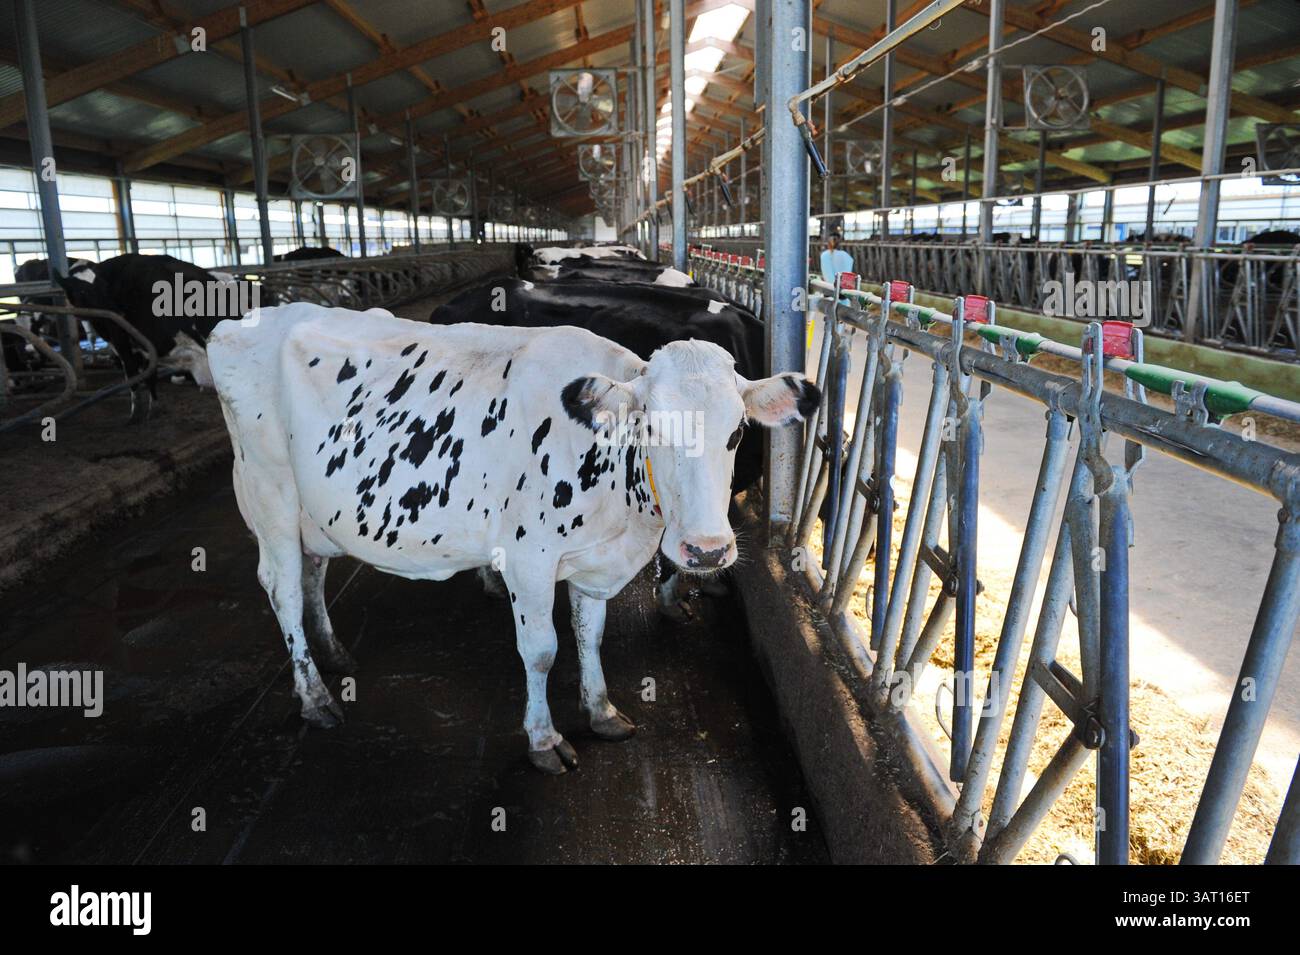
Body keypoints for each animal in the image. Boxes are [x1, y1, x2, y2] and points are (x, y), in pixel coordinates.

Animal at [54, 253, 247, 419]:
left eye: (103, 286)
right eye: (82, 292)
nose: (117, 311)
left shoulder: (120, 338)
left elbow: (133, 373)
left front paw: (135, 413)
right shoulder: (145, 345)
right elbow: (150, 374)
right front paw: (153, 407)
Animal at [207, 302, 817, 773]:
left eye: (737, 431)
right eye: (653, 427)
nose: (707, 550)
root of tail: (244, 321)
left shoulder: (593, 561)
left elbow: (591, 636)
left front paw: (601, 712)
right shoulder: (529, 559)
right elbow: (542, 650)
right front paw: (544, 740)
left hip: (313, 513)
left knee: (312, 573)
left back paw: (333, 653)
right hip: (270, 495)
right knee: (284, 589)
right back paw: (314, 698)